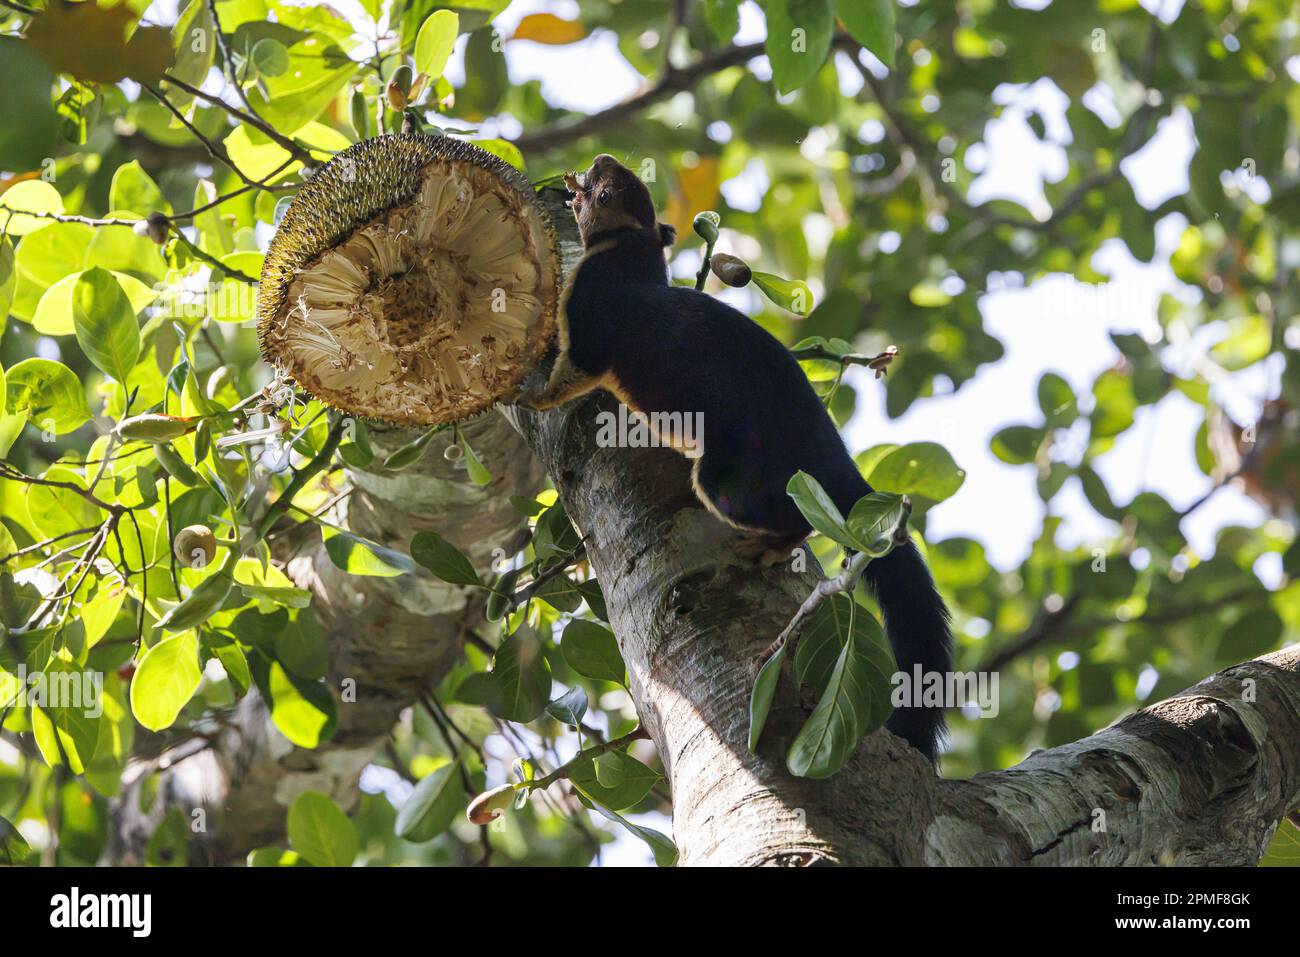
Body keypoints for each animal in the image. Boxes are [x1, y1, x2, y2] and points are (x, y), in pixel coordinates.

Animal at [516, 155, 952, 762]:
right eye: (618, 181)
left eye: (605, 193)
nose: (599, 162)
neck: (631, 253)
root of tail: (829, 450)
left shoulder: (593, 326)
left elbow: (568, 373)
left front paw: (528, 392)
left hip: (730, 476)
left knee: (788, 518)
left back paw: (765, 547)